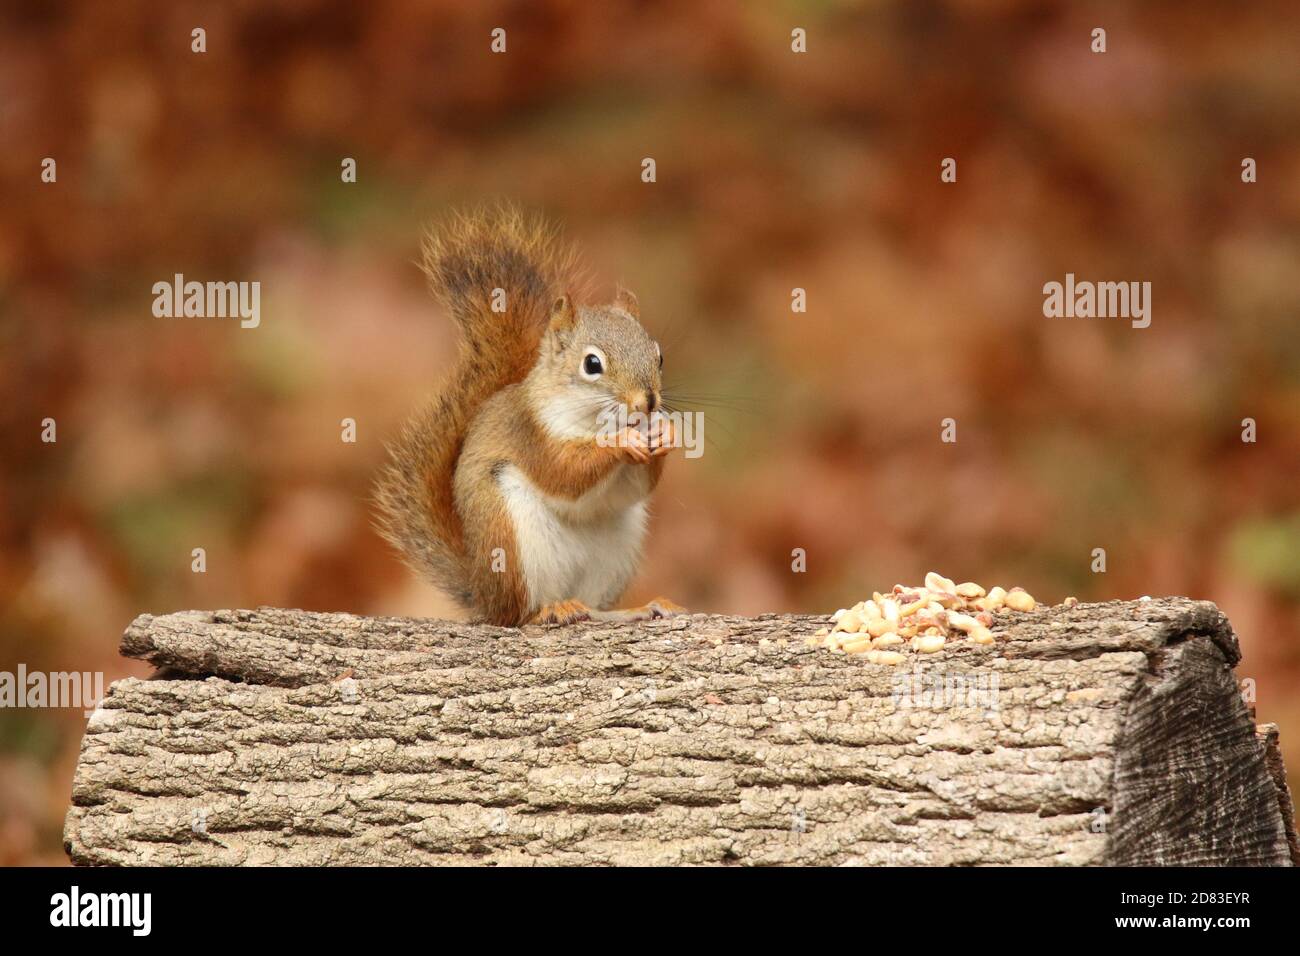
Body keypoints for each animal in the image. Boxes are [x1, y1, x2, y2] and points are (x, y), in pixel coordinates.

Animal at [374, 206, 685, 627]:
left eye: (659, 355)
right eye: (592, 364)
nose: (648, 402)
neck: (592, 419)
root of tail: (484, 598)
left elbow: (633, 489)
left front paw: (666, 435)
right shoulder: (531, 433)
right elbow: (564, 474)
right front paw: (619, 442)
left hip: (617, 549)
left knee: (594, 608)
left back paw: (636, 608)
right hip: (509, 538)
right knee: (520, 614)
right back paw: (549, 610)